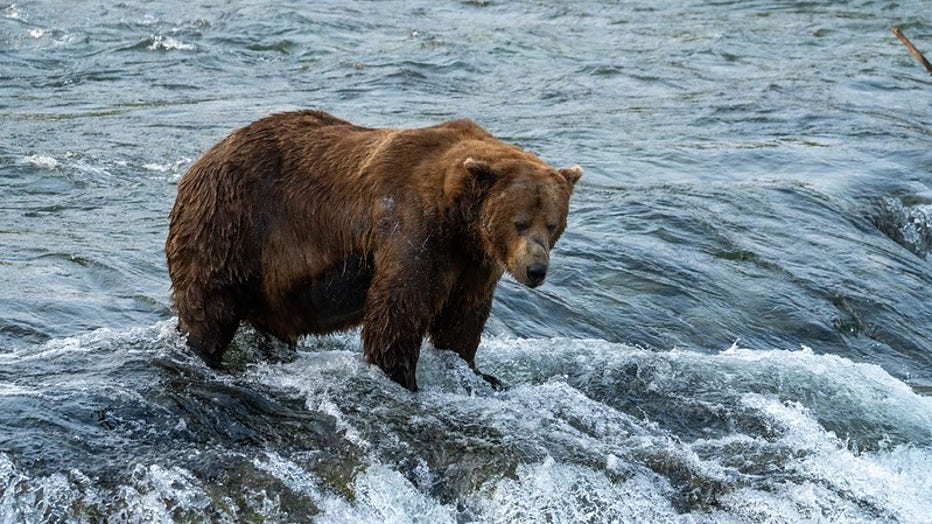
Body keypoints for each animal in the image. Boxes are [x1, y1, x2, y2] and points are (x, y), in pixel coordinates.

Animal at [166, 110, 581, 392]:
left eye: (552, 223)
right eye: (520, 222)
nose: (536, 270)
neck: (458, 220)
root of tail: (198, 163)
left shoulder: (474, 262)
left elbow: (463, 318)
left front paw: (478, 371)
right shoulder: (412, 226)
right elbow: (397, 308)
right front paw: (403, 376)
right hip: (229, 221)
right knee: (209, 303)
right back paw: (204, 353)